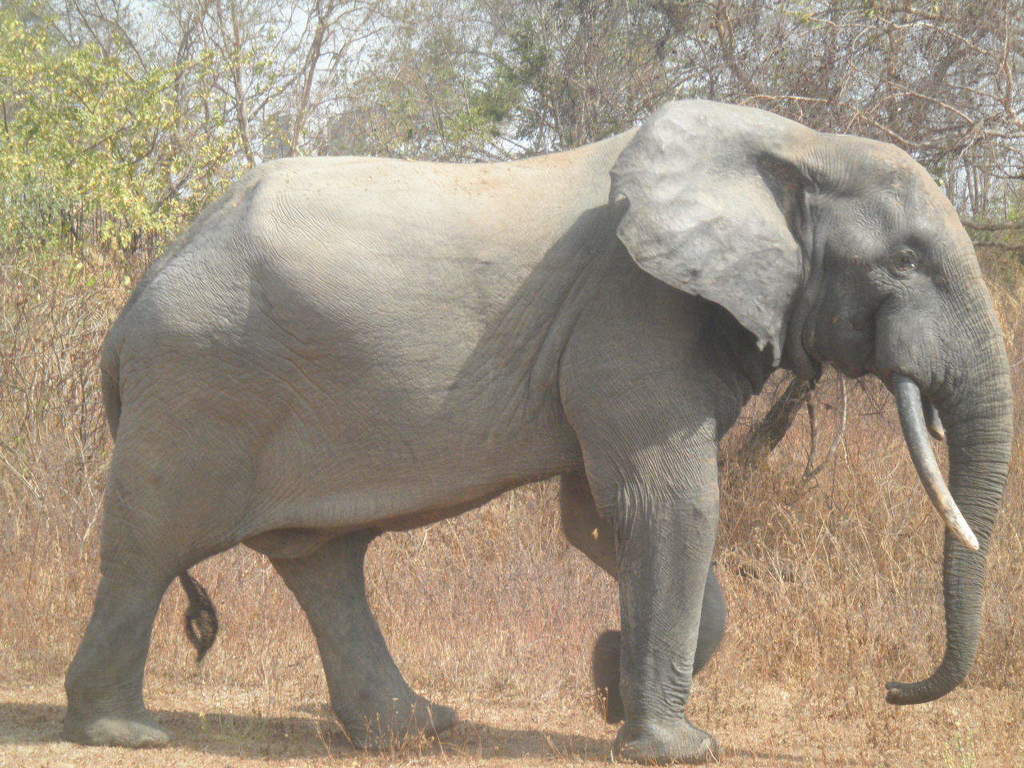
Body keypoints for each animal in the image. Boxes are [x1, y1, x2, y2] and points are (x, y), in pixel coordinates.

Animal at [62, 100, 1012, 764]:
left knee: (324, 560)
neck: (799, 144)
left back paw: (416, 728)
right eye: (904, 262)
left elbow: (599, 515)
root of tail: (133, 305)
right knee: (151, 545)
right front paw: (673, 743)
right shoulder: (635, 311)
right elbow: (669, 504)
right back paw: (123, 734)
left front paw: (607, 682)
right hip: (198, 383)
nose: (896, 688)